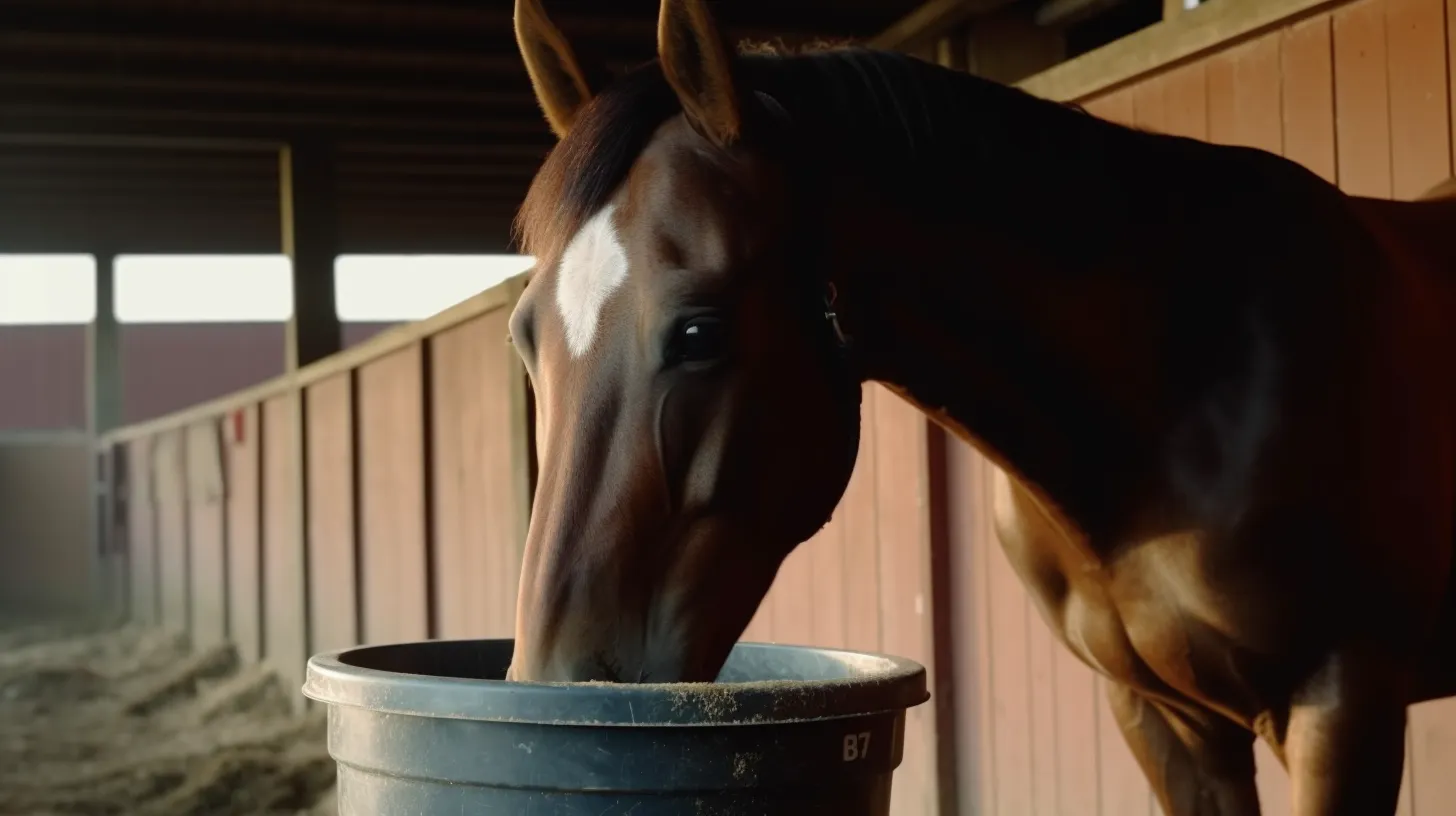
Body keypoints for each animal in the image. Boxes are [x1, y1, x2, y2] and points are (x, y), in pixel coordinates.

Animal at [501, 0, 1456, 813]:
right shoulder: (1166, 721)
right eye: (524, 334)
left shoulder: (1343, 710)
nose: (559, 682)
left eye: (699, 331)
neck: (1189, 373)